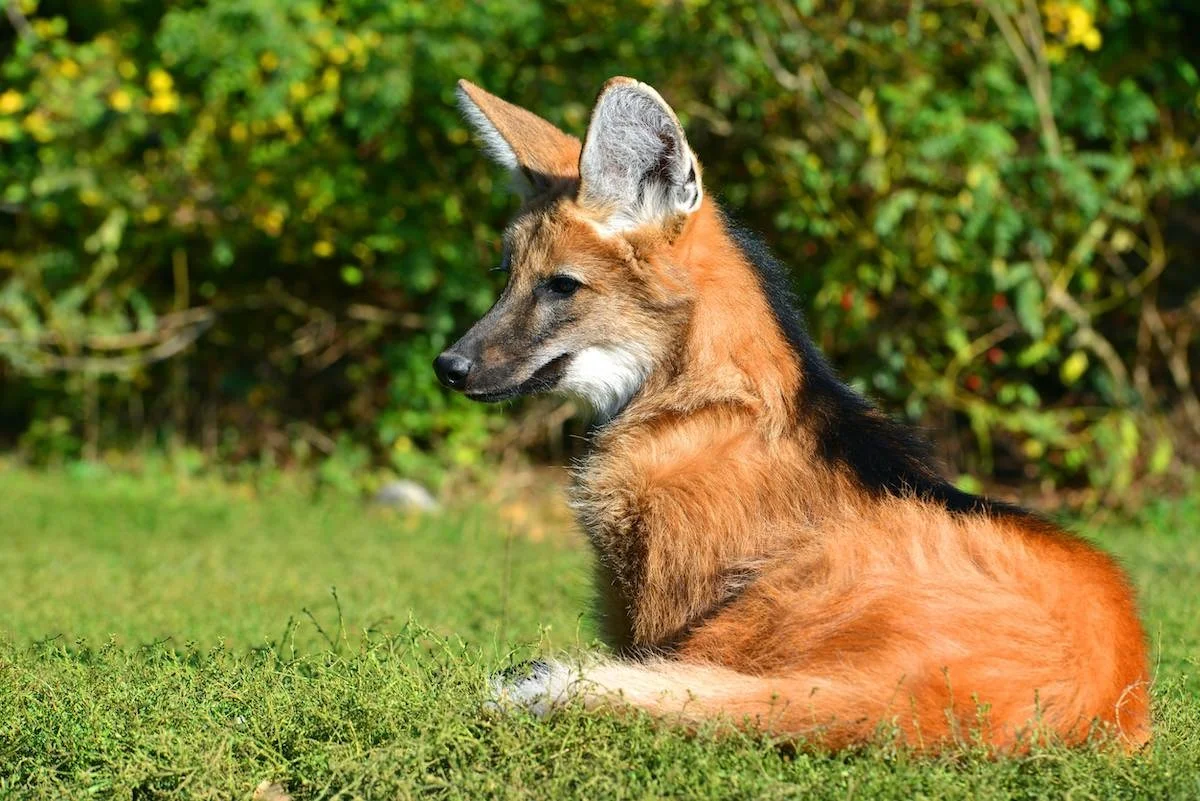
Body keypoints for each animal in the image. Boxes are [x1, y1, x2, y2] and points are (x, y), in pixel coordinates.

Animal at [434, 77, 1150, 752]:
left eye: (561, 286)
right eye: (506, 277)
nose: (449, 366)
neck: (693, 401)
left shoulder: (669, 613)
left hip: (796, 584)